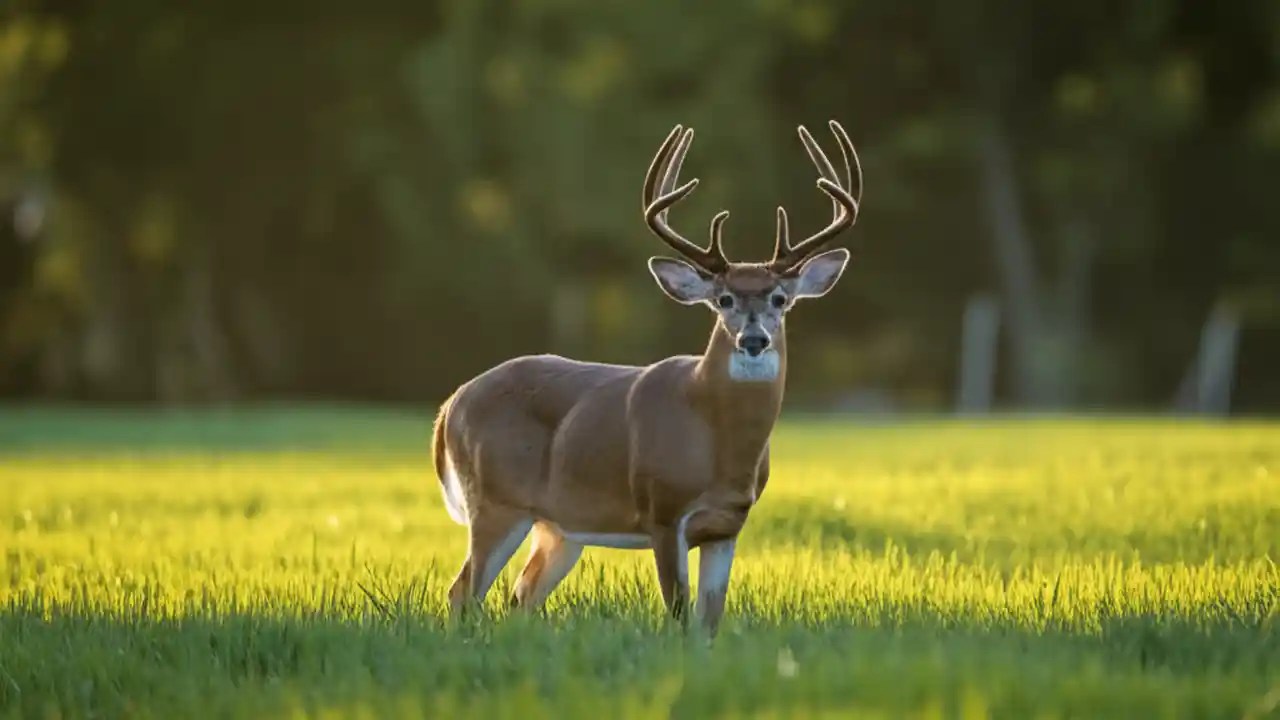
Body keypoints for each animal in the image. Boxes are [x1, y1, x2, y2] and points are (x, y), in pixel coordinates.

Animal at [431, 120, 862, 636]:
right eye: (723, 299)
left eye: (780, 298)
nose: (754, 339)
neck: (715, 436)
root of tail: (451, 403)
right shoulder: (663, 510)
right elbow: (678, 612)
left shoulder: (727, 525)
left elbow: (709, 619)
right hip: (496, 500)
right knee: (463, 592)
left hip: (557, 525)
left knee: (519, 596)